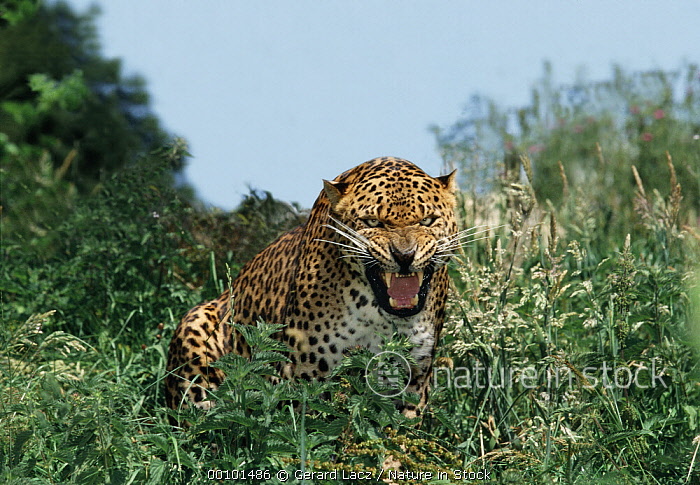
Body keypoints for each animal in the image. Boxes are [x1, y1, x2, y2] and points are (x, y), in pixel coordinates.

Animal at [165, 156, 462, 422]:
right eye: (372, 223)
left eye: (428, 220)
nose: (405, 256)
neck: (378, 314)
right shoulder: (306, 375)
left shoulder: (412, 377)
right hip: (193, 328)